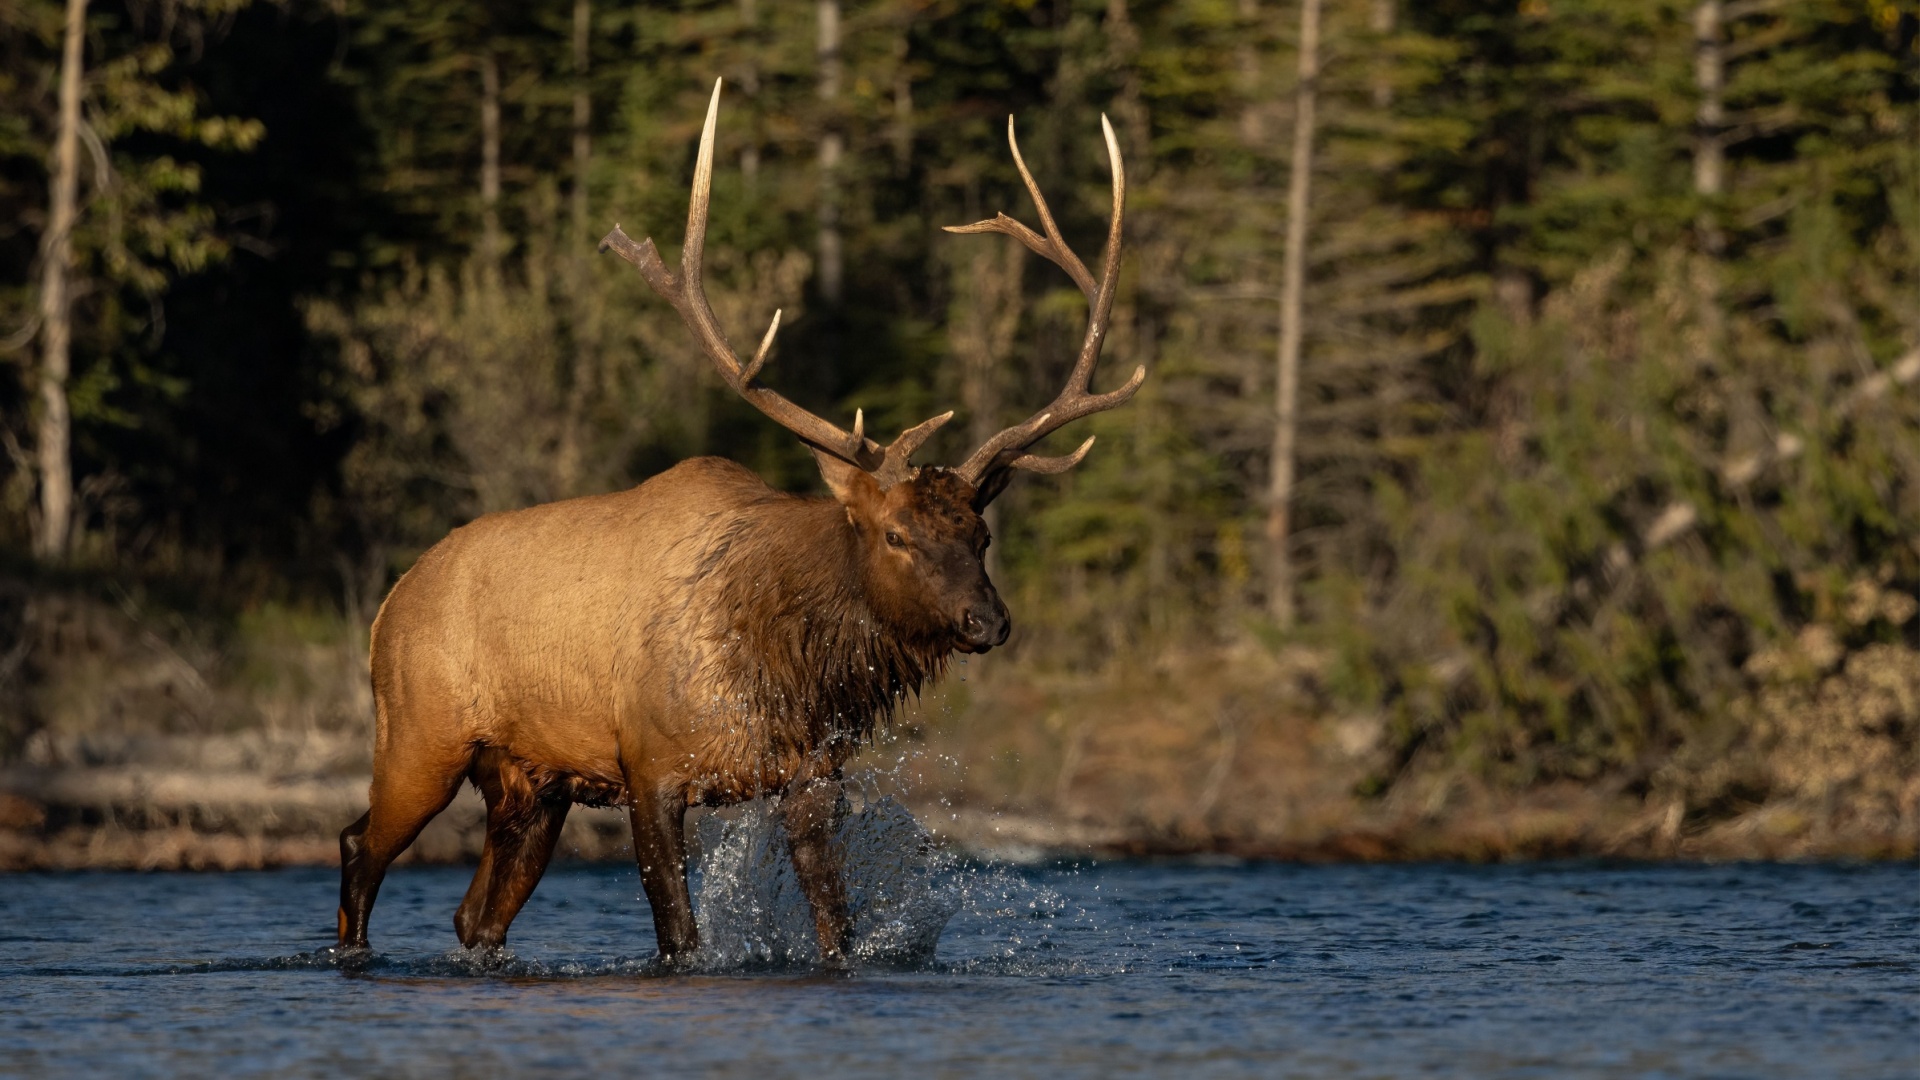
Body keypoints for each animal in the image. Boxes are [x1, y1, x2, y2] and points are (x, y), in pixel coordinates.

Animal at [334, 79, 1141, 966]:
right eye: (895, 535)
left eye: (980, 534)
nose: (986, 620)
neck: (785, 666)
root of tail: (387, 604)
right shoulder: (648, 766)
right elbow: (679, 936)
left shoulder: (812, 775)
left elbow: (835, 929)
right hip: (420, 735)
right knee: (358, 847)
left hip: (529, 783)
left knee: (474, 916)